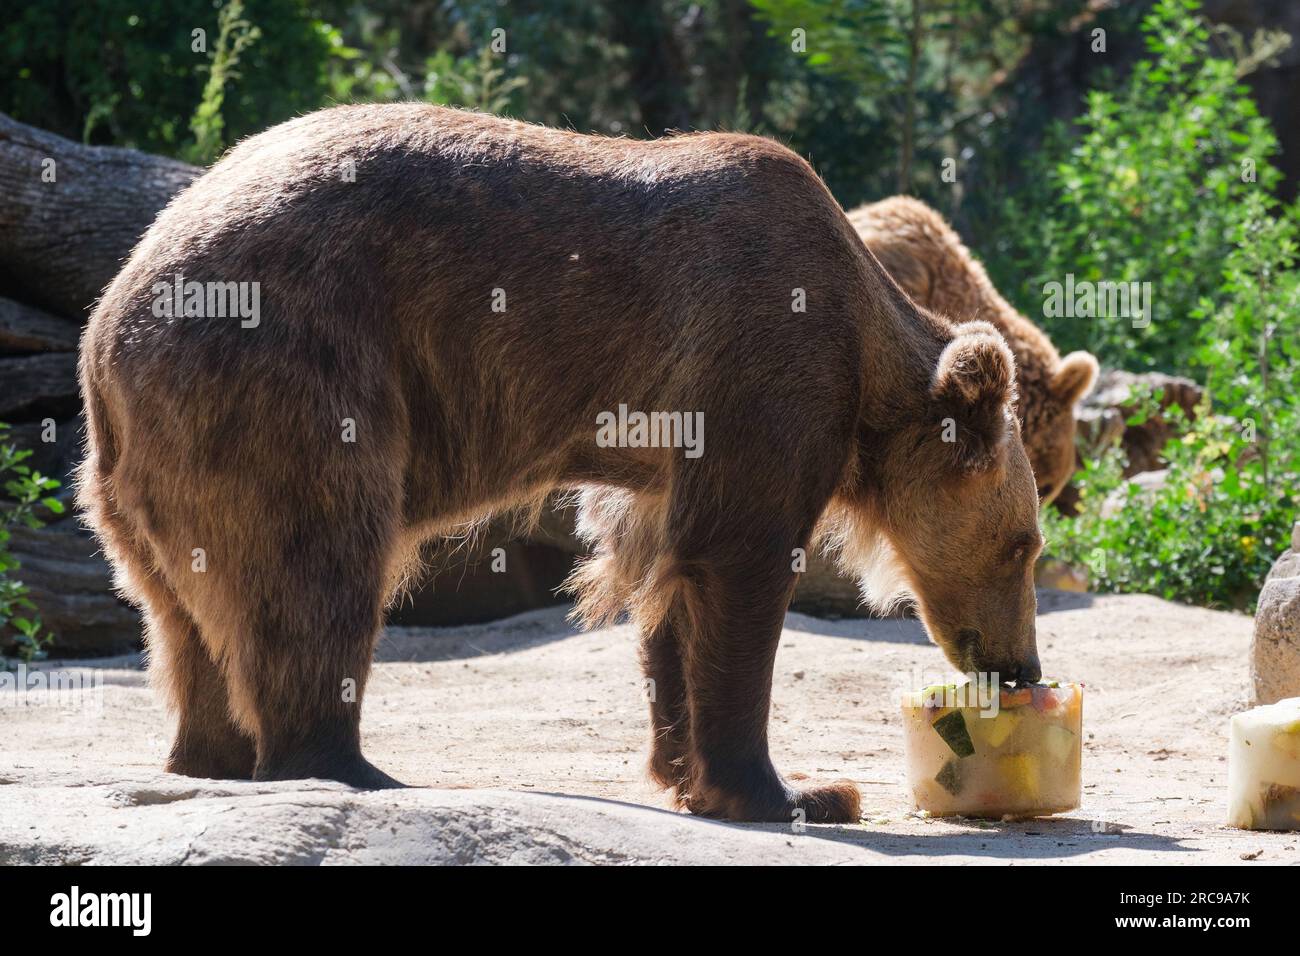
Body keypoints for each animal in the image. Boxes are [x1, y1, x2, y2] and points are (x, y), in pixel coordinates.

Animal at [77, 104, 1043, 823]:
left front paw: (689, 770)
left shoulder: (664, 451)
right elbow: (741, 560)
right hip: (286, 367)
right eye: (1024, 545)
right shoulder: (766, 355)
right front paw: (796, 790)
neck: (867, 361)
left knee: (187, 616)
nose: (1022, 668)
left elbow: (665, 578)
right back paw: (348, 764)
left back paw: (212, 756)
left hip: (143, 468)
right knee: (316, 564)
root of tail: (103, 330)